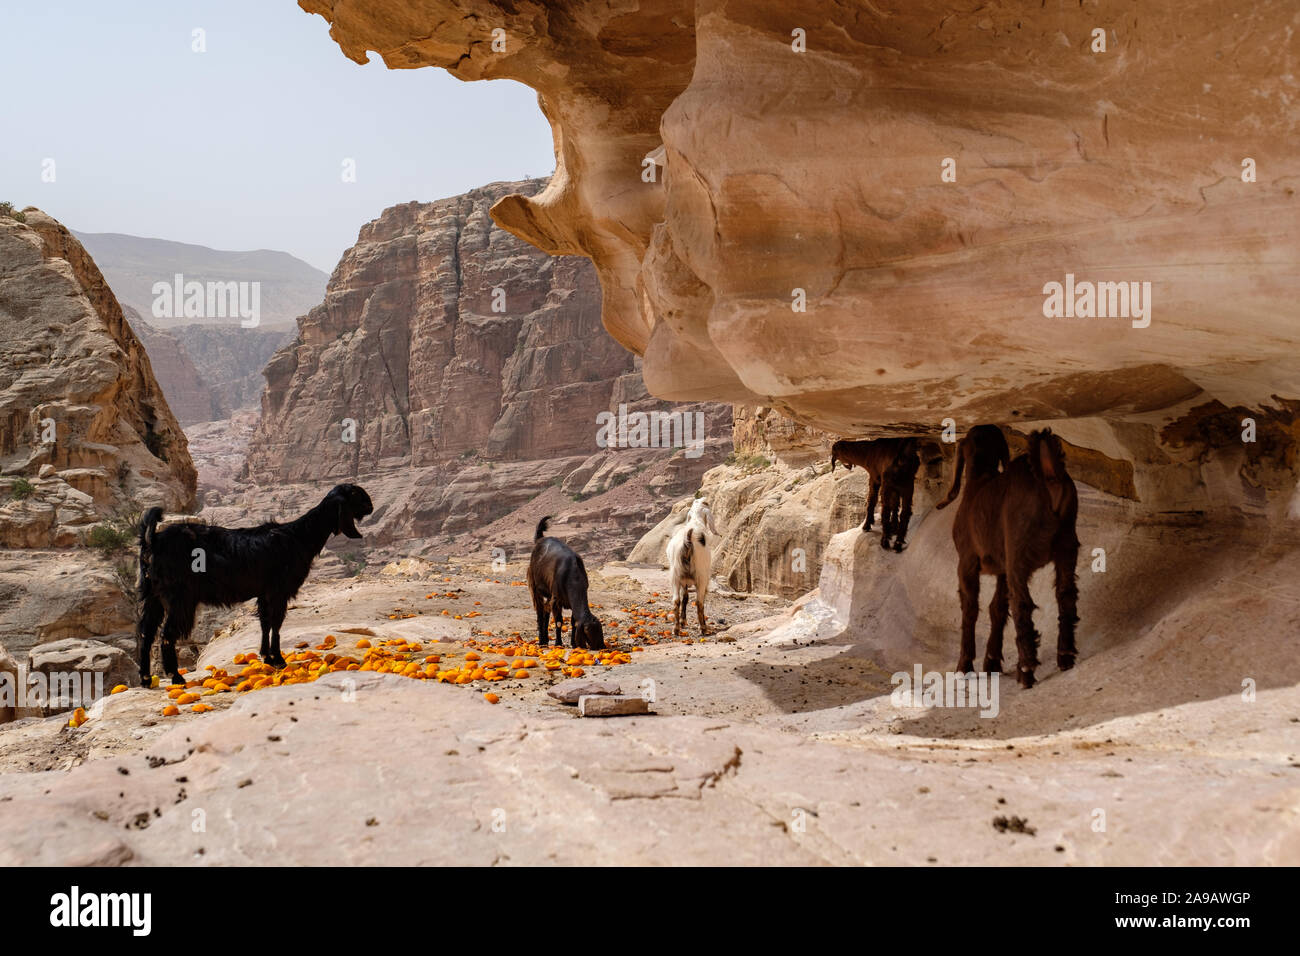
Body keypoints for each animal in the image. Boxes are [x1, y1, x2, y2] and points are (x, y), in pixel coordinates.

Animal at [136, 484, 374, 683]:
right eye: (355, 493)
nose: (370, 506)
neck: (299, 536)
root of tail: (153, 540)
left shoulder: (264, 593)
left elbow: (265, 623)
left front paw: (266, 657)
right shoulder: (279, 590)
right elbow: (276, 623)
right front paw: (278, 659)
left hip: (153, 595)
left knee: (145, 632)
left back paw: (146, 679)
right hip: (179, 597)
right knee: (166, 634)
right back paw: (176, 676)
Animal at [527, 517, 605, 650]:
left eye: (600, 630)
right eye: (588, 632)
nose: (601, 646)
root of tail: (539, 539)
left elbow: (574, 622)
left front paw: (573, 643)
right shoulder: (556, 600)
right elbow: (558, 622)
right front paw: (558, 643)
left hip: (548, 593)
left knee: (546, 612)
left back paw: (546, 639)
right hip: (535, 587)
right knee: (540, 612)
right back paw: (541, 640)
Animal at [667, 498, 717, 636]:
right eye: (706, 504)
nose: (704, 499)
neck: (696, 522)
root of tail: (688, 542)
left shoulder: (684, 581)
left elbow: (685, 597)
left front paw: (683, 621)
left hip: (675, 576)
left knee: (676, 600)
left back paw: (676, 629)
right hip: (701, 576)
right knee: (699, 602)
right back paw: (703, 628)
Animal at [944, 428, 1079, 688]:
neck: (979, 479)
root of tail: (1048, 477)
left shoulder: (966, 562)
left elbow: (970, 609)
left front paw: (964, 666)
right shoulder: (1002, 567)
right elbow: (997, 607)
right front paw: (991, 662)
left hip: (1019, 551)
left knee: (1022, 603)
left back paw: (1026, 670)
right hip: (1067, 543)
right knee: (1066, 592)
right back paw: (1065, 656)